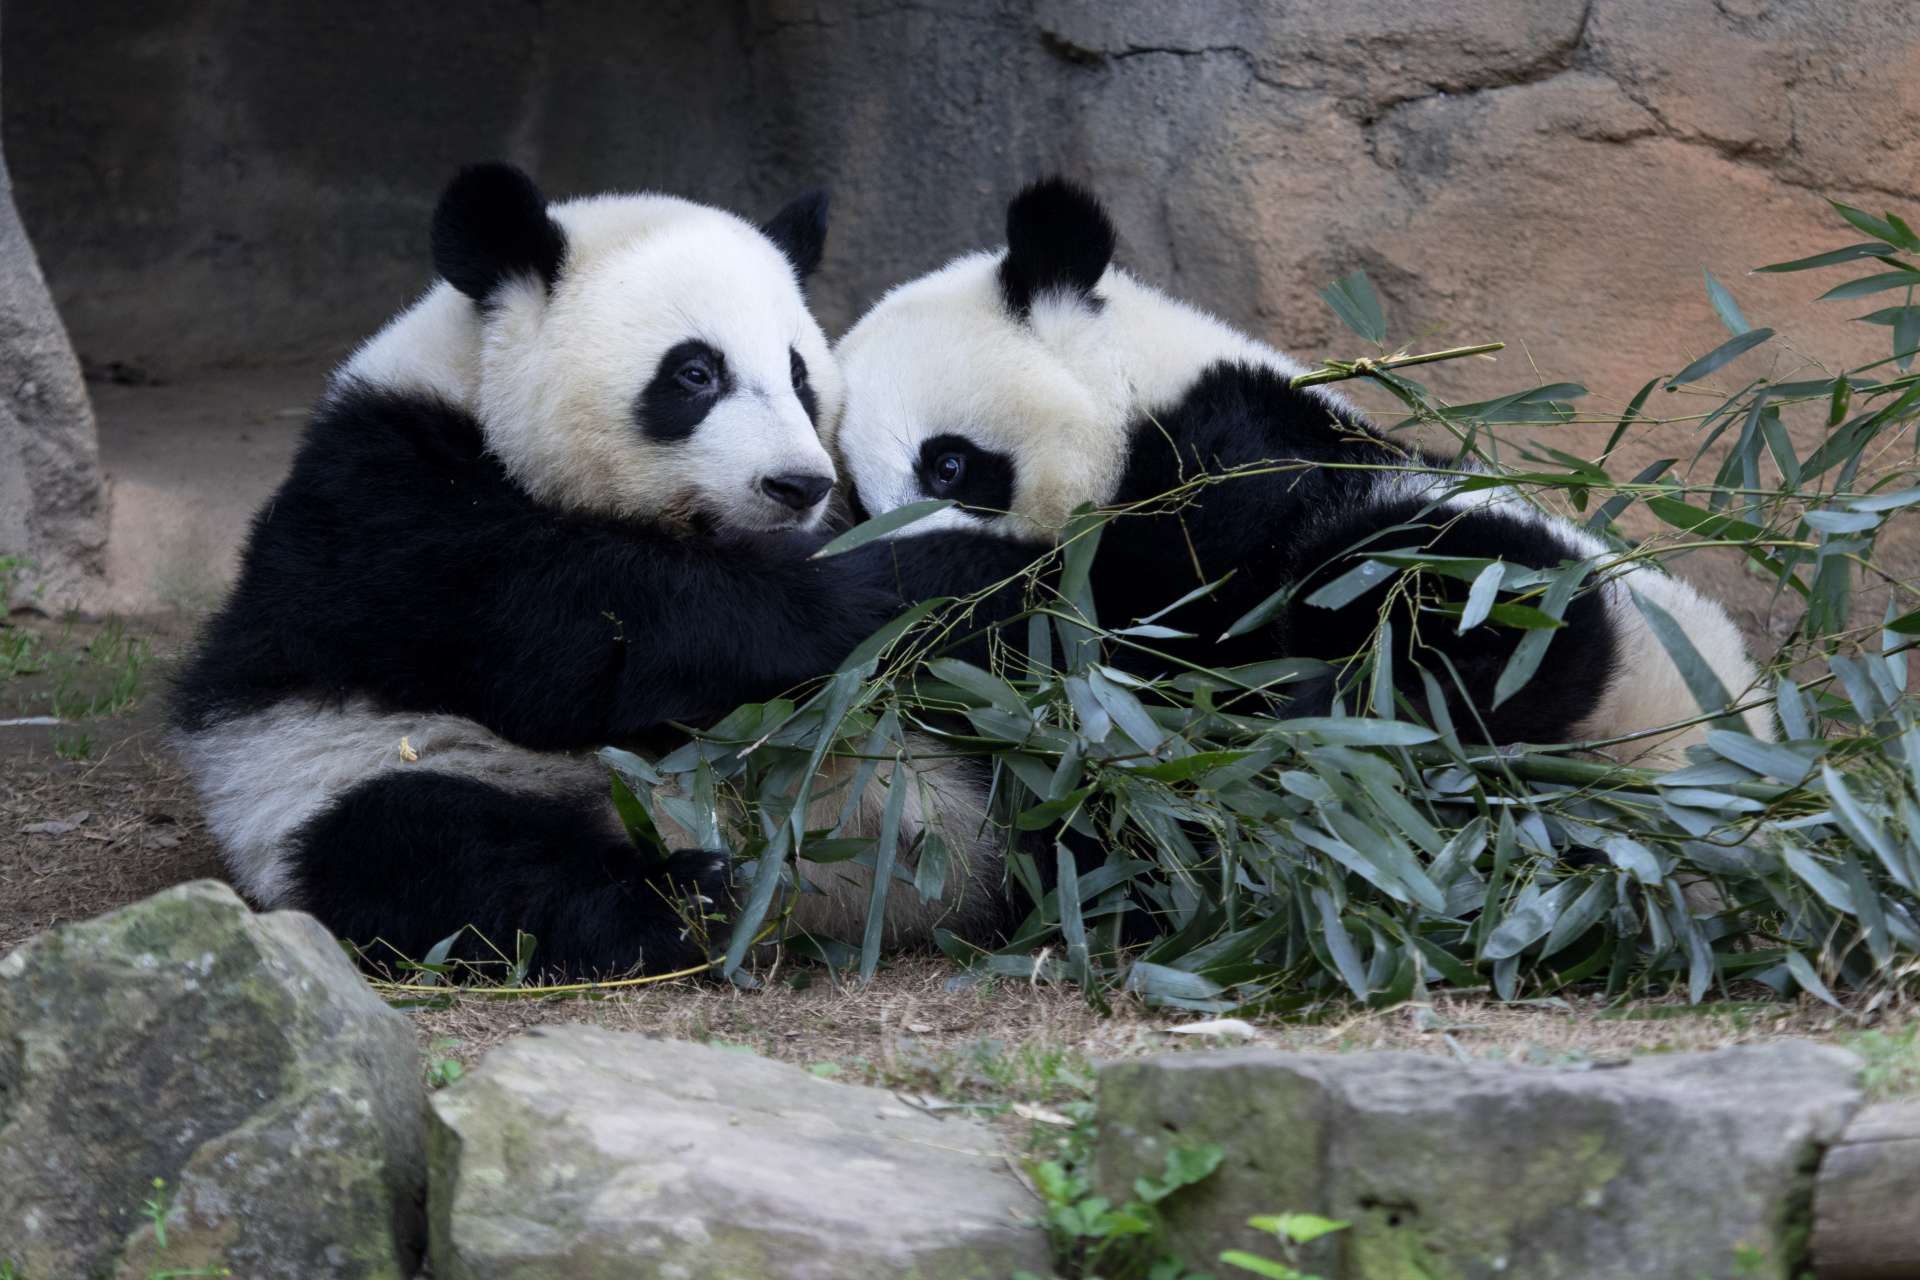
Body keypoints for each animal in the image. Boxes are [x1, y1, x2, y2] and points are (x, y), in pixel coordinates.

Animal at [171, 164, 1042, 977]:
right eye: (695, 373)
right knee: (443, 857)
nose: (798, 485)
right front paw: (959, 575)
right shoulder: (392, 509)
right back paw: (684, 897)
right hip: (332, 772)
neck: (475, 396)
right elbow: (594, 638)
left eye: (801, 376)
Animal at [830, 177, 1774, 756]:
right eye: (859, 497)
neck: (1136, 386)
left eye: (949, 466)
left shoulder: (1230, 465)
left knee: (1483, 622)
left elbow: (1126, 610)